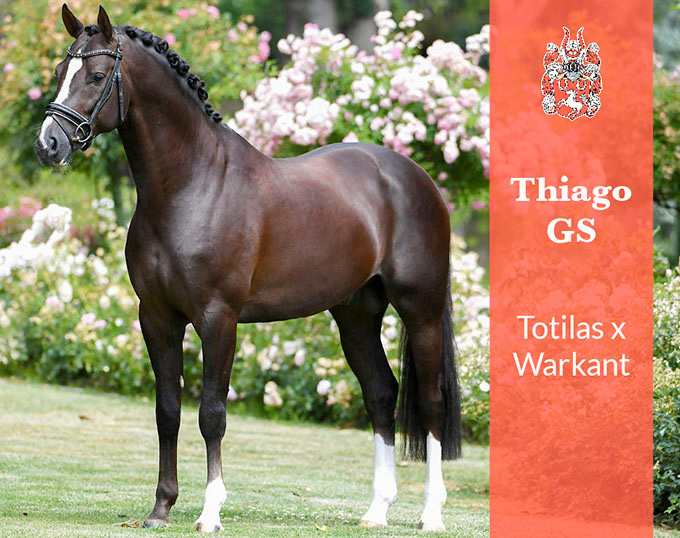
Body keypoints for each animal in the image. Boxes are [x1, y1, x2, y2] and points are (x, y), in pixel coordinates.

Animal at [35, 5, 462, 533]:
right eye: (60, 72)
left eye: (95, 76)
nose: (48, 145)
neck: (191, 187)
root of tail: (413, 177)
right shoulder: (156, 317)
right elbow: (167, 410)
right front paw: (160, 508)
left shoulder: (219, 319)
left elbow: (211, 414)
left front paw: (210, 512)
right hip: (356, 316)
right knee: (381, 395)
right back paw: (376, 511)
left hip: (421, 311)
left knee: (431, 403)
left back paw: (431, 513)